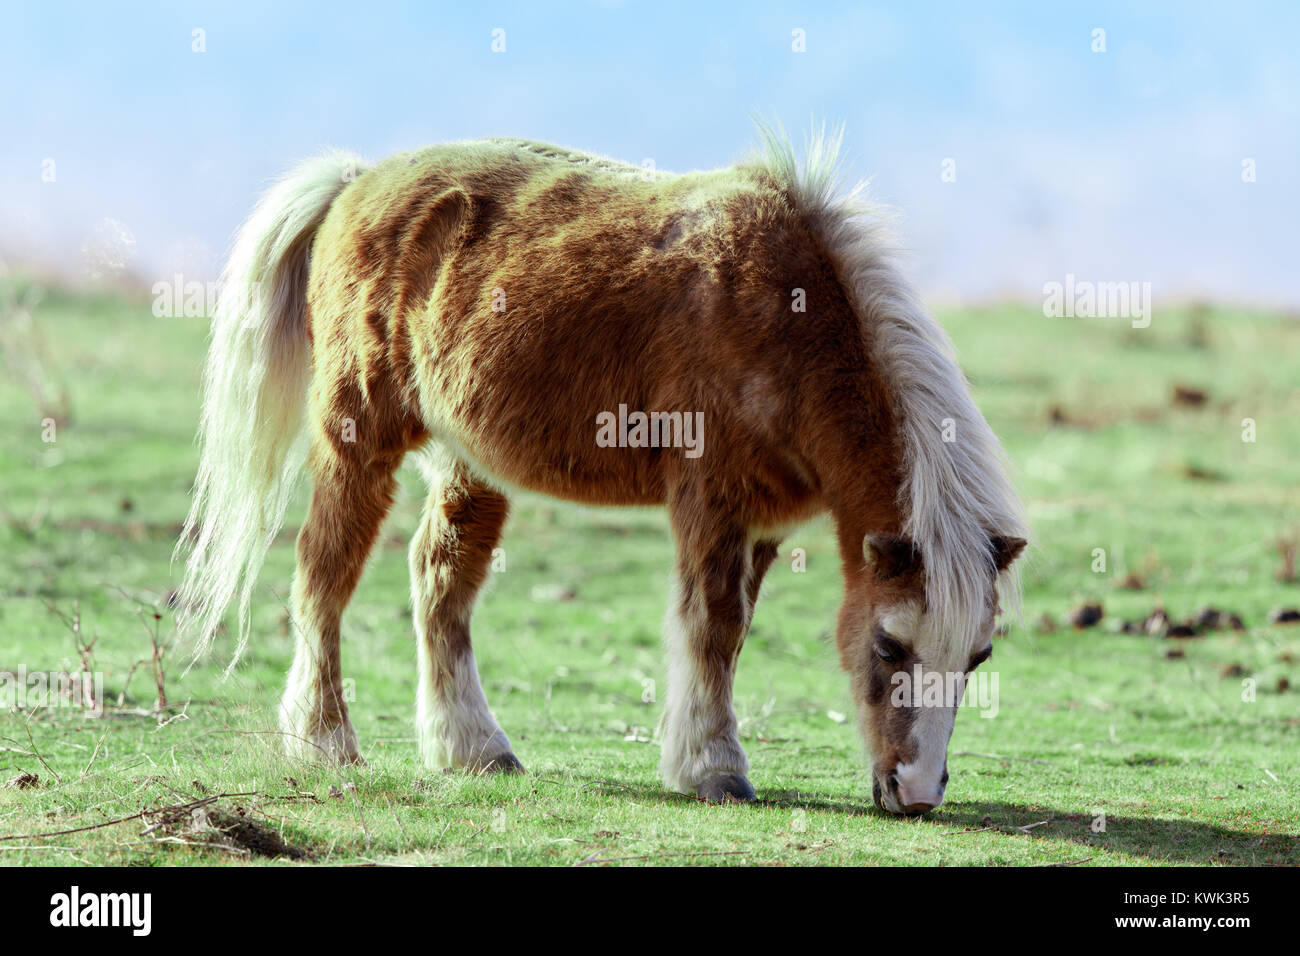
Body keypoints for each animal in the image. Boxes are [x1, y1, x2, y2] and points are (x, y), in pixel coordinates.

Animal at [177, 123, 1027, 814]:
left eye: (979, 655)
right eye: (888, 647)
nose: (915, 795)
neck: (790, 317)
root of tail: (356, 180)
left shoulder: (762, 520)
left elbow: (732, 631)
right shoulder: (710, 497)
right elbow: (712, 625)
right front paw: (712, 769)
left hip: (471, 460)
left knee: (439, 580)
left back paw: (473, 749)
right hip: (359, 439)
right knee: (324, 572)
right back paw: (324, 740)